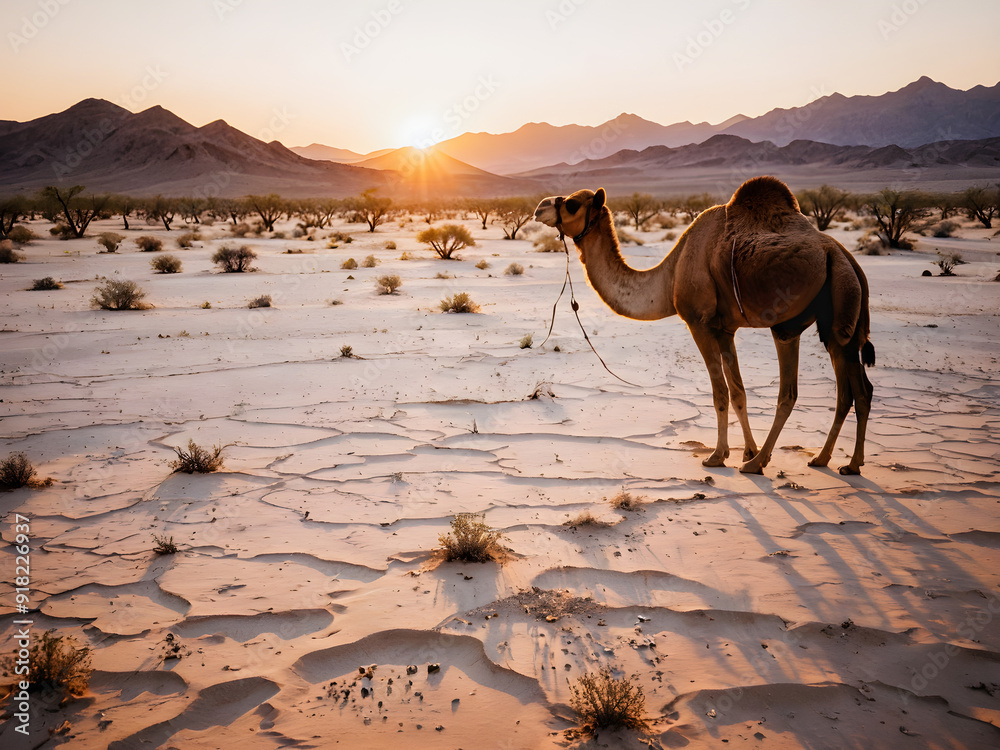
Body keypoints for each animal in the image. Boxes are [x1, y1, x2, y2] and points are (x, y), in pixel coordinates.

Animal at [533, 176, 875, 475]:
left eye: (572, 204)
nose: (539, 208)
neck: (670, 275)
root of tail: (843, 256)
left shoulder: (698, 323)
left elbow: (720, 392)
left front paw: (718, 456)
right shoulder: (725, 330)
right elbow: (738, 392)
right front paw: (746, 449)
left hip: (792, 324)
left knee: (791, 393)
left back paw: (760, 463)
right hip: (842, 325)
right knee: (856, 391)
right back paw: (839, 462)